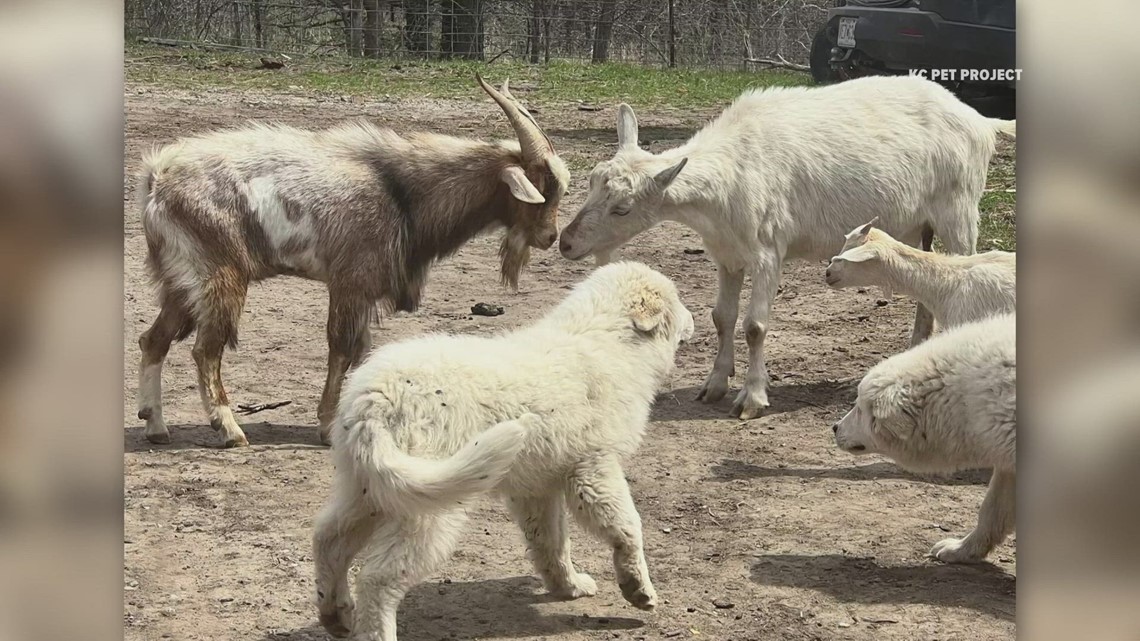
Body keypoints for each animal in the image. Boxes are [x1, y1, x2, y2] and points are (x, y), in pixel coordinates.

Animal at [135, 76, 570, 447]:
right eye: (540, 190)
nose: (551, 237)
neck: (401, 190)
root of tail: (157, 177)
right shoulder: (351, 282)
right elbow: (342, 348)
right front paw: (328, 428)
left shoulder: (363, 293)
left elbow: (360, 351)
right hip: (220, 276)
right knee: (206, 350)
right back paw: (229, 429)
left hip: (181, 282)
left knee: (154, 339)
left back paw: (156, 426)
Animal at [311, 262, 695, 640]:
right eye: (678, 300)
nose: (694, 320)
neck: (611, 344)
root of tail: (375, 400)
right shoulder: (594, 470)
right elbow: (627, 527)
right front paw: (639, 590)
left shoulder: (538, 487)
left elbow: (551, 543)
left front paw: (568, 586)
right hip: (428, 506)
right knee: (378, 578)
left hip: (373, 486)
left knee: (327, 539)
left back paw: (337, 614)